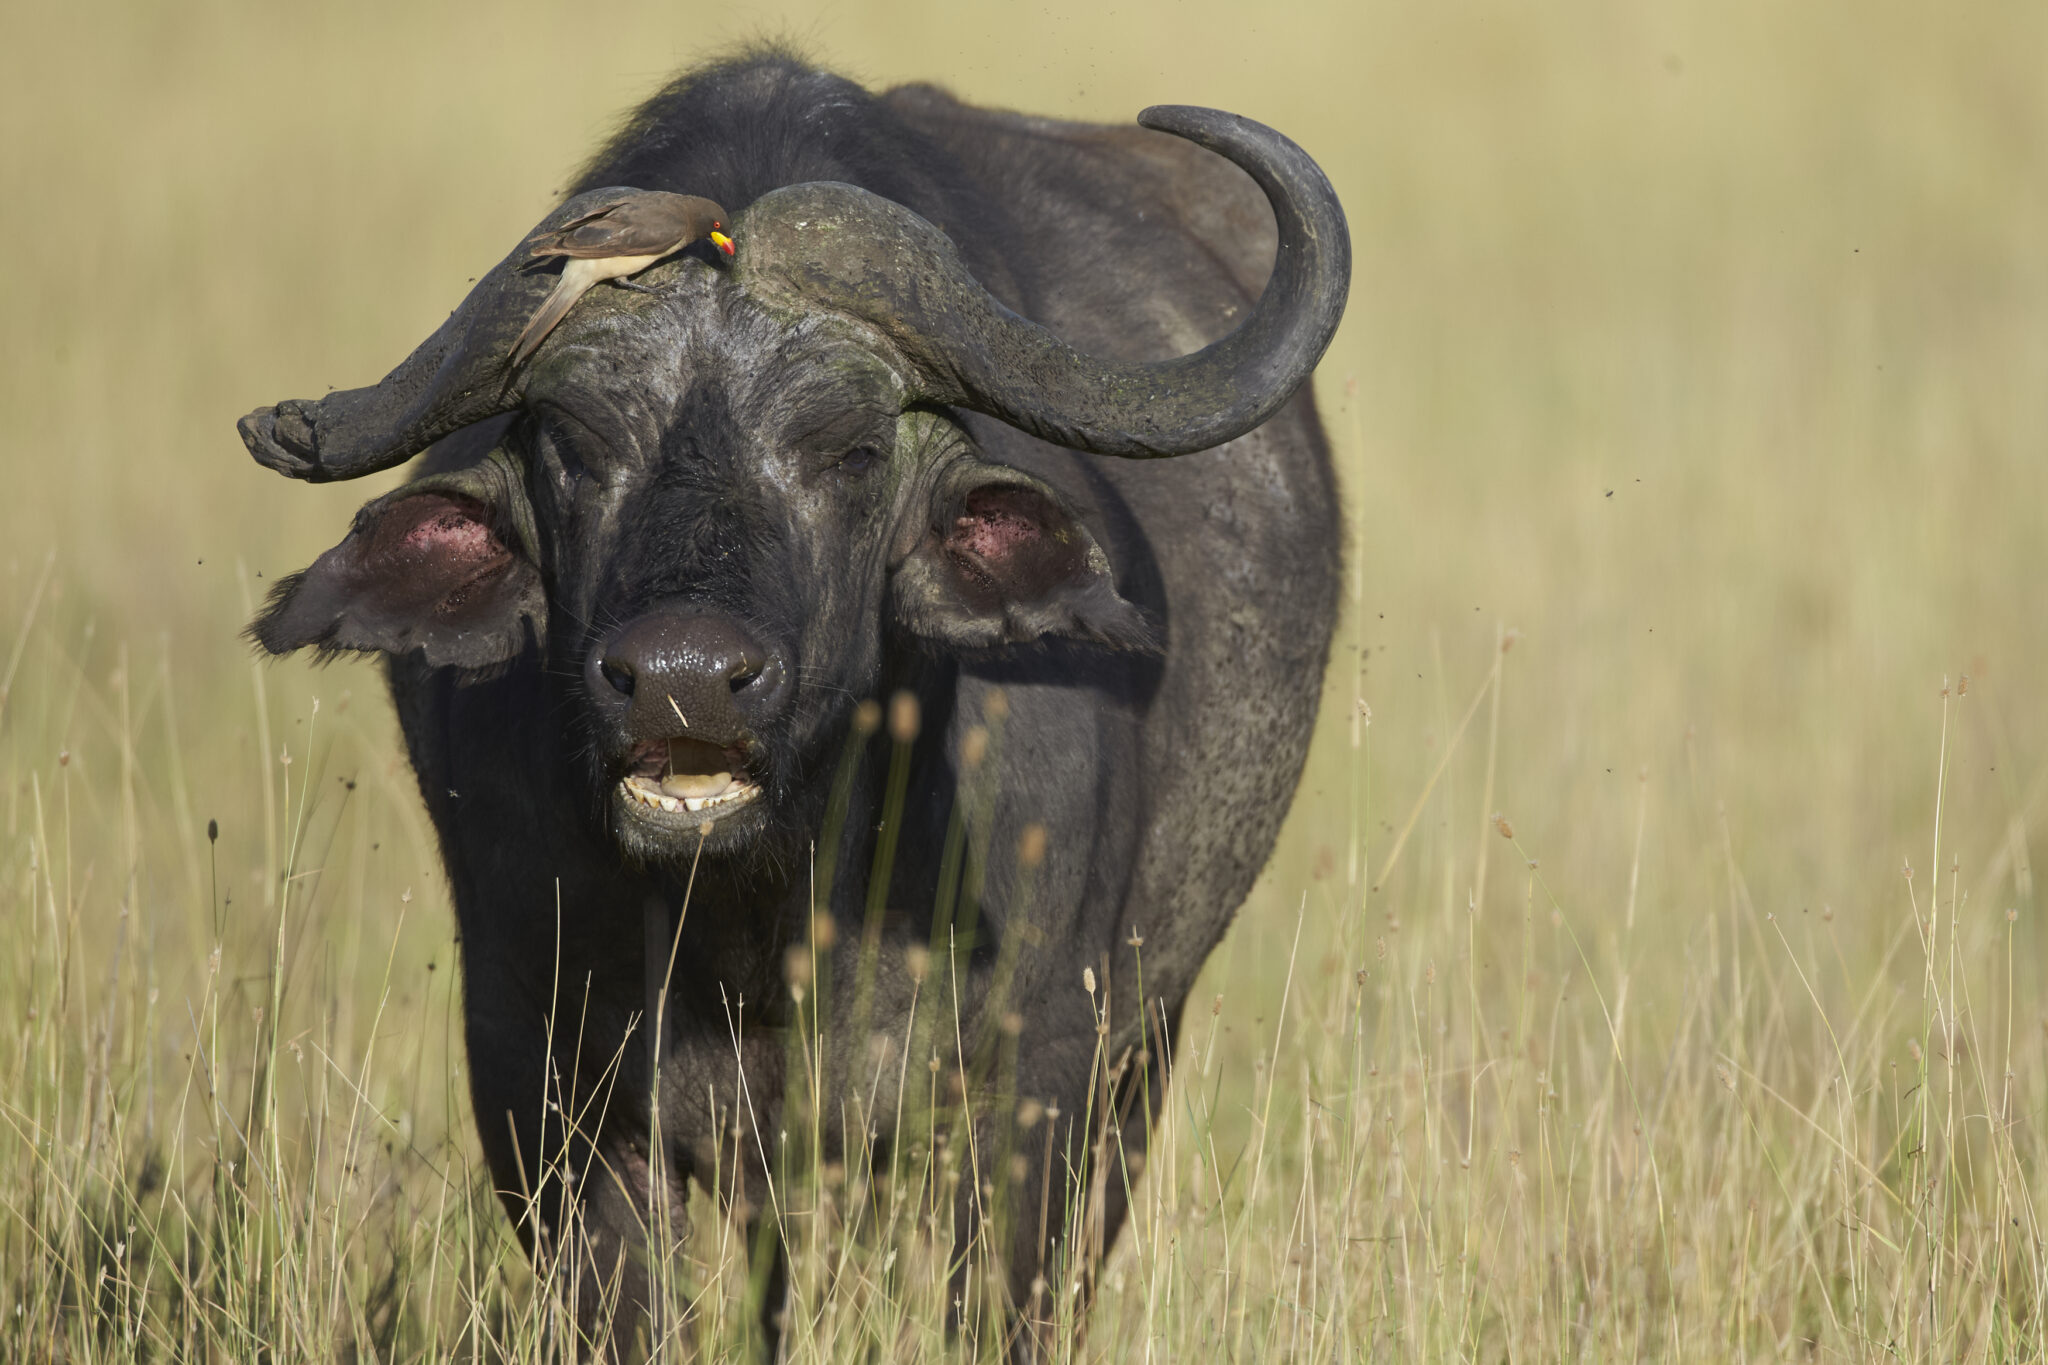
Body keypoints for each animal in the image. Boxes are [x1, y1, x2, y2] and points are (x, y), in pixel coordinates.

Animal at [240, 50, 1347, 1354]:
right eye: (571, 445)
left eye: (850, 451)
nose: (680, 681)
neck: (759, 928)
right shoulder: (539, 1091)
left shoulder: (1036, 1089)